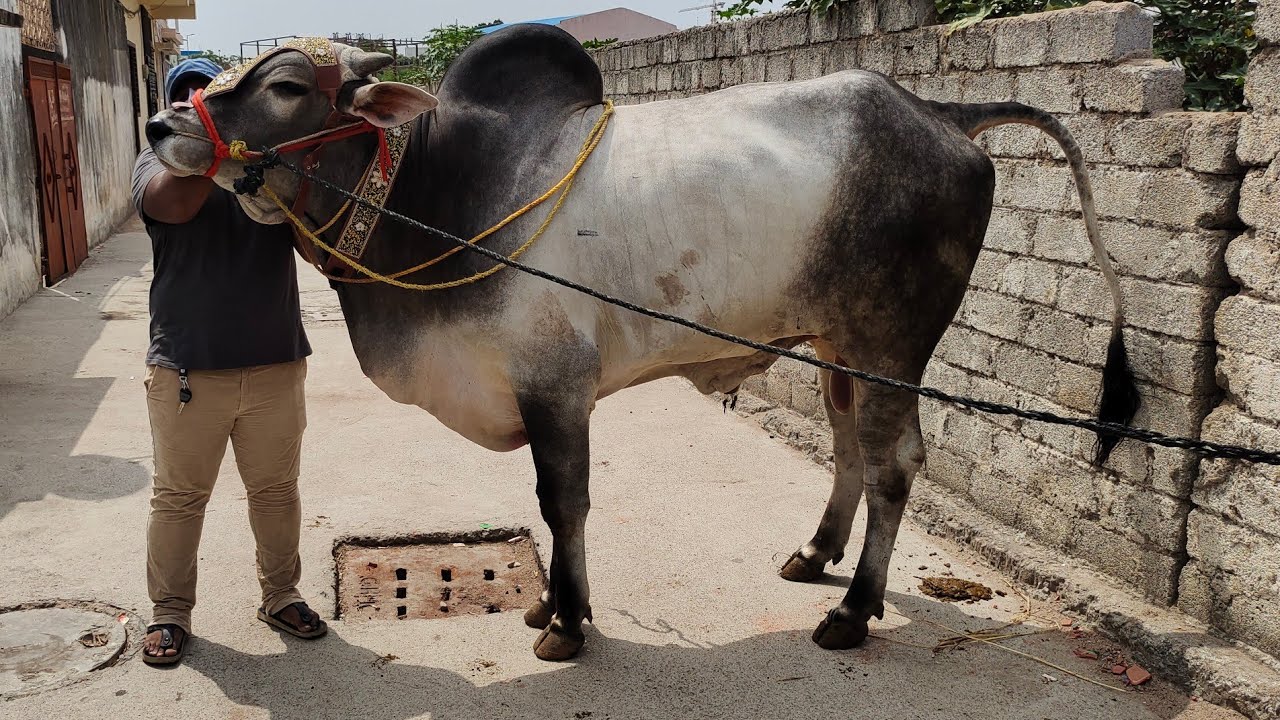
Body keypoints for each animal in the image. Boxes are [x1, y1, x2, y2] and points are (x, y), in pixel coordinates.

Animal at [143, 25, 1138, 661]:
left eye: (284, 87)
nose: (162, 124)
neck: (440, 187)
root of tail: (941, 114)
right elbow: (551, 509)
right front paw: (551, 604)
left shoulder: (556, 390)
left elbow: (563, 503)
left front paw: (566, 623)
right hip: (837, 345)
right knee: (852, 448)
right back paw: (814, 556)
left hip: (890, 342)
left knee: (894, 464)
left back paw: (855, 611)